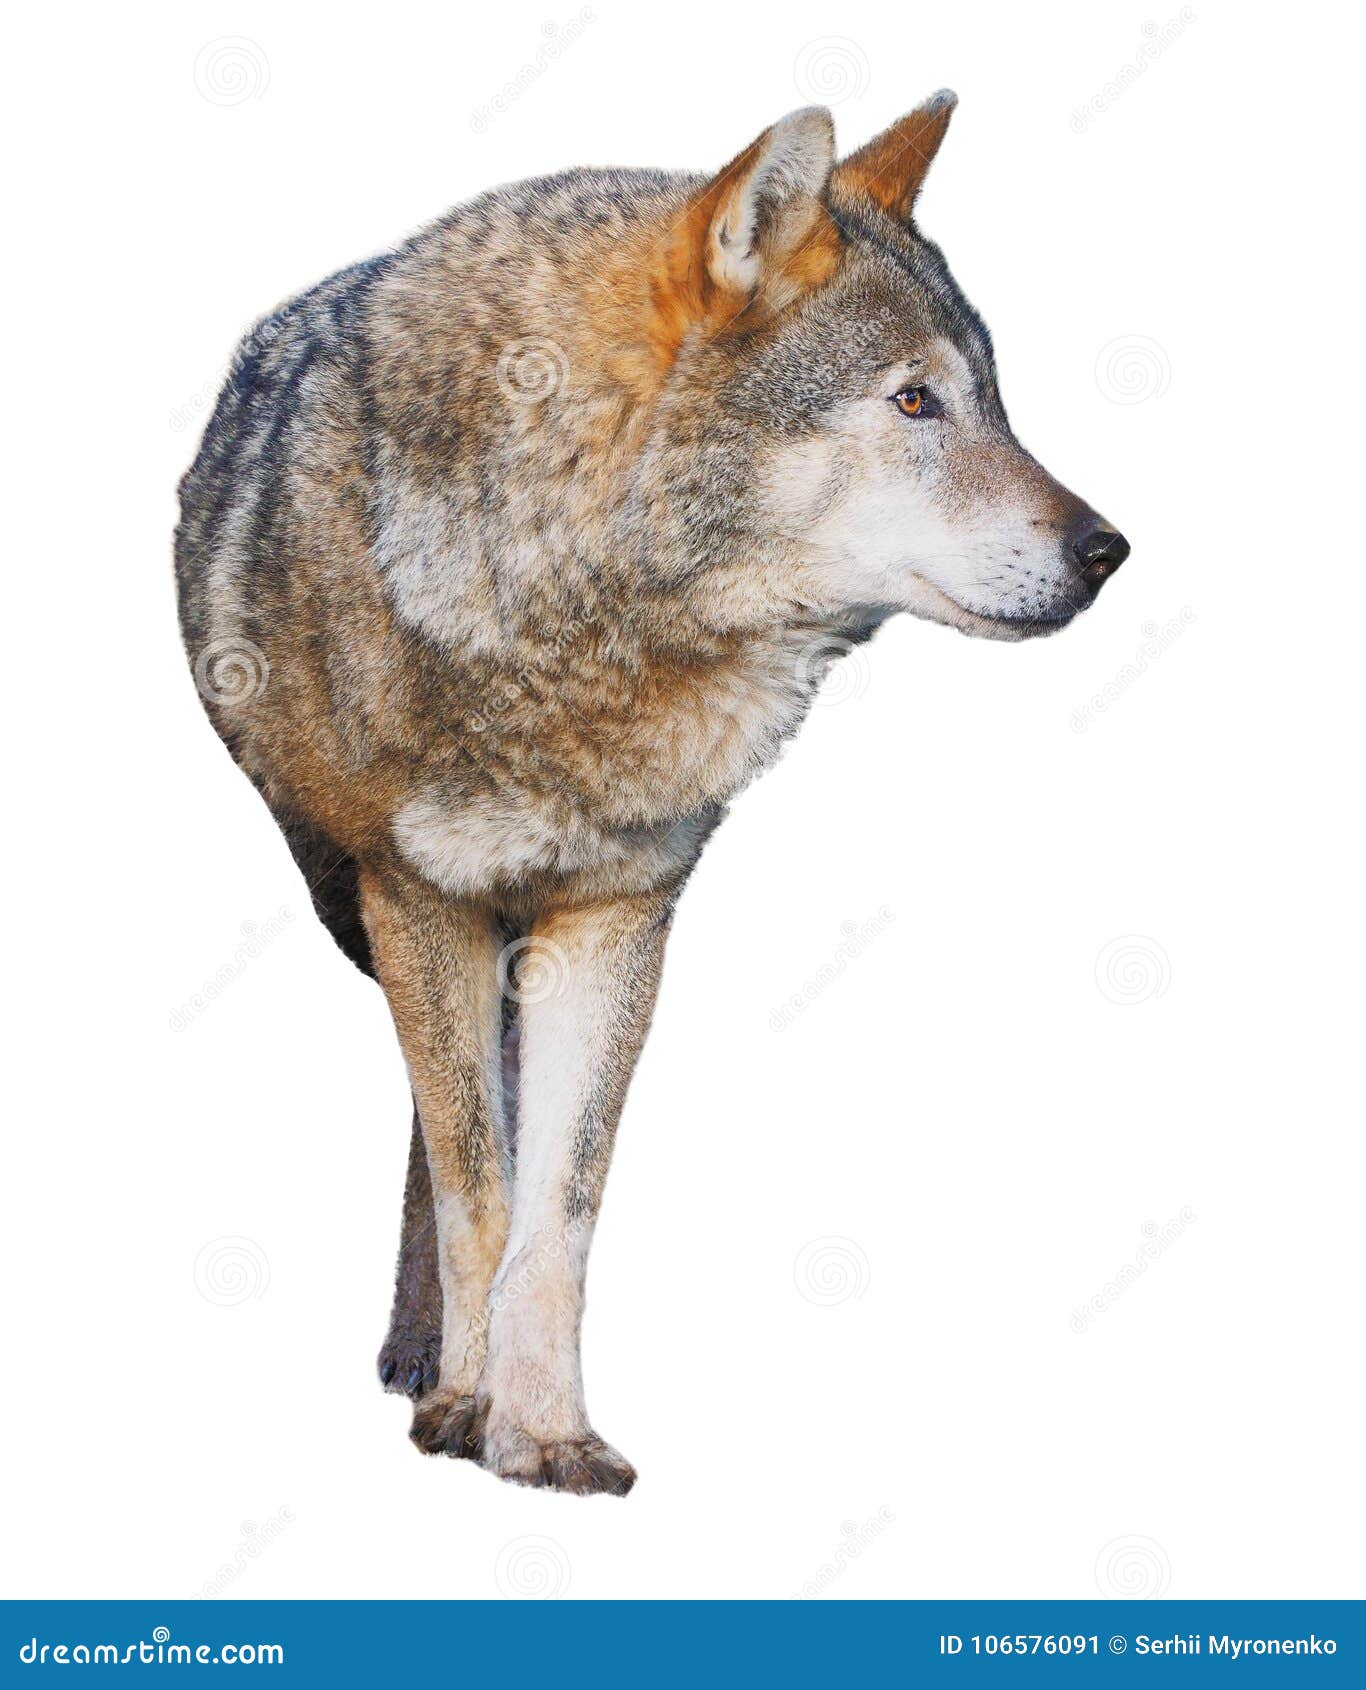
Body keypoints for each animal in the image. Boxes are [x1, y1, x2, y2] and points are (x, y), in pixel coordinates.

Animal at [176, 92, 1128, 1495]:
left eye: (992, 402)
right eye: (913, 401)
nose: (1107, 550)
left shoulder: (621, 914)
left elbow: (558, 1209)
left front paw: (545, 1429)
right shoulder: (422, 902)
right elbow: (478, 1186)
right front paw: (468, 1406)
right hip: (349, 906)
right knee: (432, 1120)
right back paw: (420, 1355)